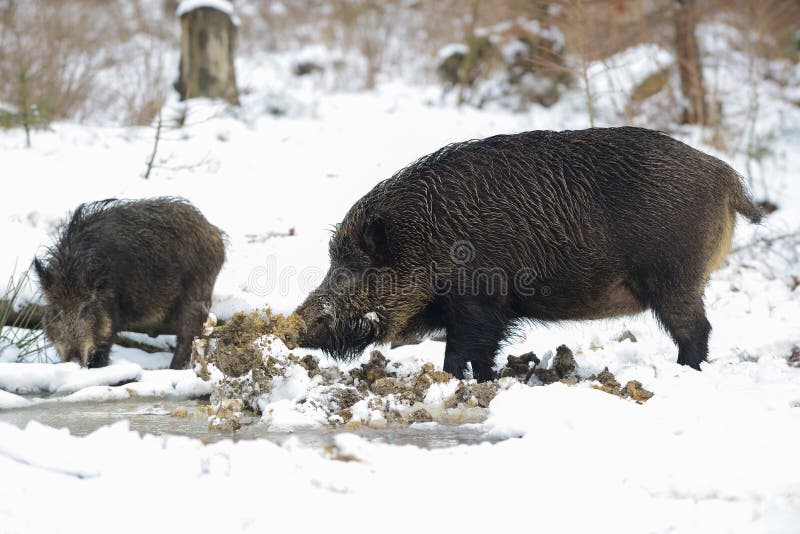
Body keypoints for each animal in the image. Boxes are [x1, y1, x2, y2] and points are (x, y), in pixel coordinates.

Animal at [34, 197, 225, 369]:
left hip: (196, 291)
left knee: (191, 333)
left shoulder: (111, 320)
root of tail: (215, 233)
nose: (74, 360)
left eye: (86, 309)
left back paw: (175, 368)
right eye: (56, 311)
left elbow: (103, 349)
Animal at [295, 127, 762, 382]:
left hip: (675, 278)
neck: (422, 242)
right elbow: (480, 355)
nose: (296, 323)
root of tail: (727, 178)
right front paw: (485, 381)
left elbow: (462, 351)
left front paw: (449, 381)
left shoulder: (479, 302)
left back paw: (685, 372)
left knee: (697, 330)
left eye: (352, 270)